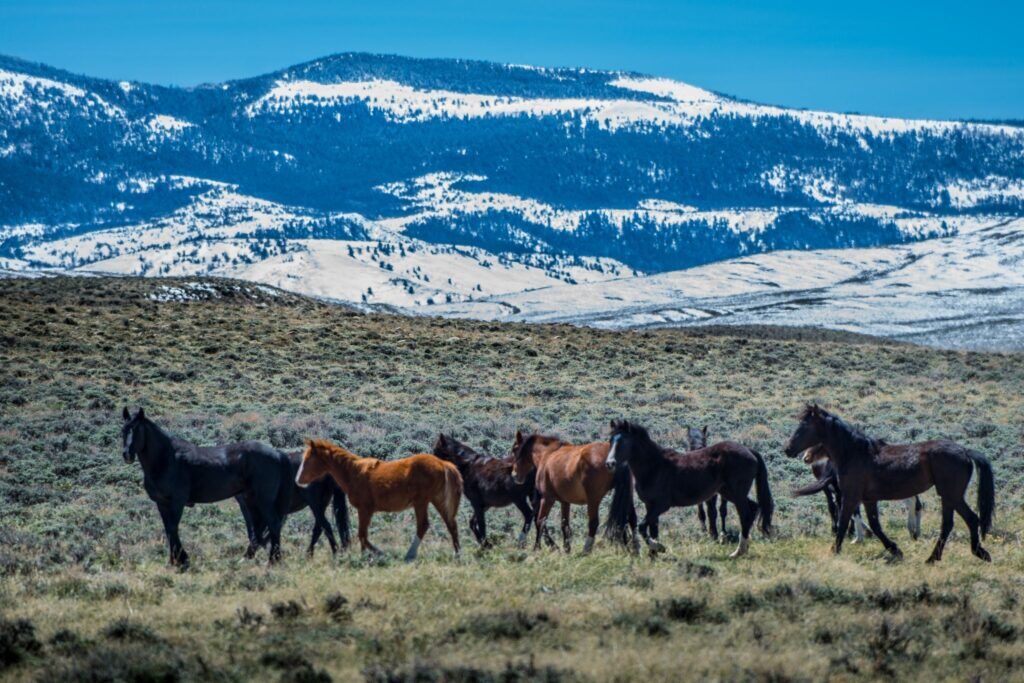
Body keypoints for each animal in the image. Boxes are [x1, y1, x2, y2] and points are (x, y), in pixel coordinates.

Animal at [120, 407, 293, 569]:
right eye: (123, 430)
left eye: (137, 430)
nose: (127, 455)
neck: (166, 459)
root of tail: (277, 453)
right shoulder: (161, 503)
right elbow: (168, 530)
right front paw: (174, 561)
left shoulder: (177, 501)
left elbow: (173, 528)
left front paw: (181, 560)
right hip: (249, 499)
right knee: (258, 529)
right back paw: (246, 559)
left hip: (263, 499)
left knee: (273, 524)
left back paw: (273, 560)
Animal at [295, 439, 462, 561]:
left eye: (308, 459)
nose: (297, 481)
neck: (353, 472)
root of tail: (442, 463)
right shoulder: (365, 511)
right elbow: (363, 535)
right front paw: (364, 557)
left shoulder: (365, 510)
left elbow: (362, 535)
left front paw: (378, 553)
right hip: (437, 500)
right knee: (451, 524)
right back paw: (457, 555)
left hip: (421, 502)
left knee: (423, 525)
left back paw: (409, 555)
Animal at [605, 420, 773, 558]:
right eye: (610, 440)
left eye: (623, 441)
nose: (610, 463)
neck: (654, 466)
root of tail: (749, 450)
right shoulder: (650, 505)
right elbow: (653, 529)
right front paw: (653, 554)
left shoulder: (661, 505)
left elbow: (642, 527)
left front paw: (659, 548)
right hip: (728, 492)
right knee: (753, 508)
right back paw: (743, 548)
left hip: (735, 494)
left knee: (746, 514)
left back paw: (738, 551)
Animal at [784, 404, 994, 562]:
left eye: (804, 426)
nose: (788, 449)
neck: (855, 454)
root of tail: (965, 452)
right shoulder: (868, 499)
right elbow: (875, 525)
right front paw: (895, 549)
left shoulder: (850, 496)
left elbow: (844, 522)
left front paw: (834, 550)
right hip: (951, 496)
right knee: (963, 521)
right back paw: (967, 554)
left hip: (950, 495)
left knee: (957, 522)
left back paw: (944, 557)